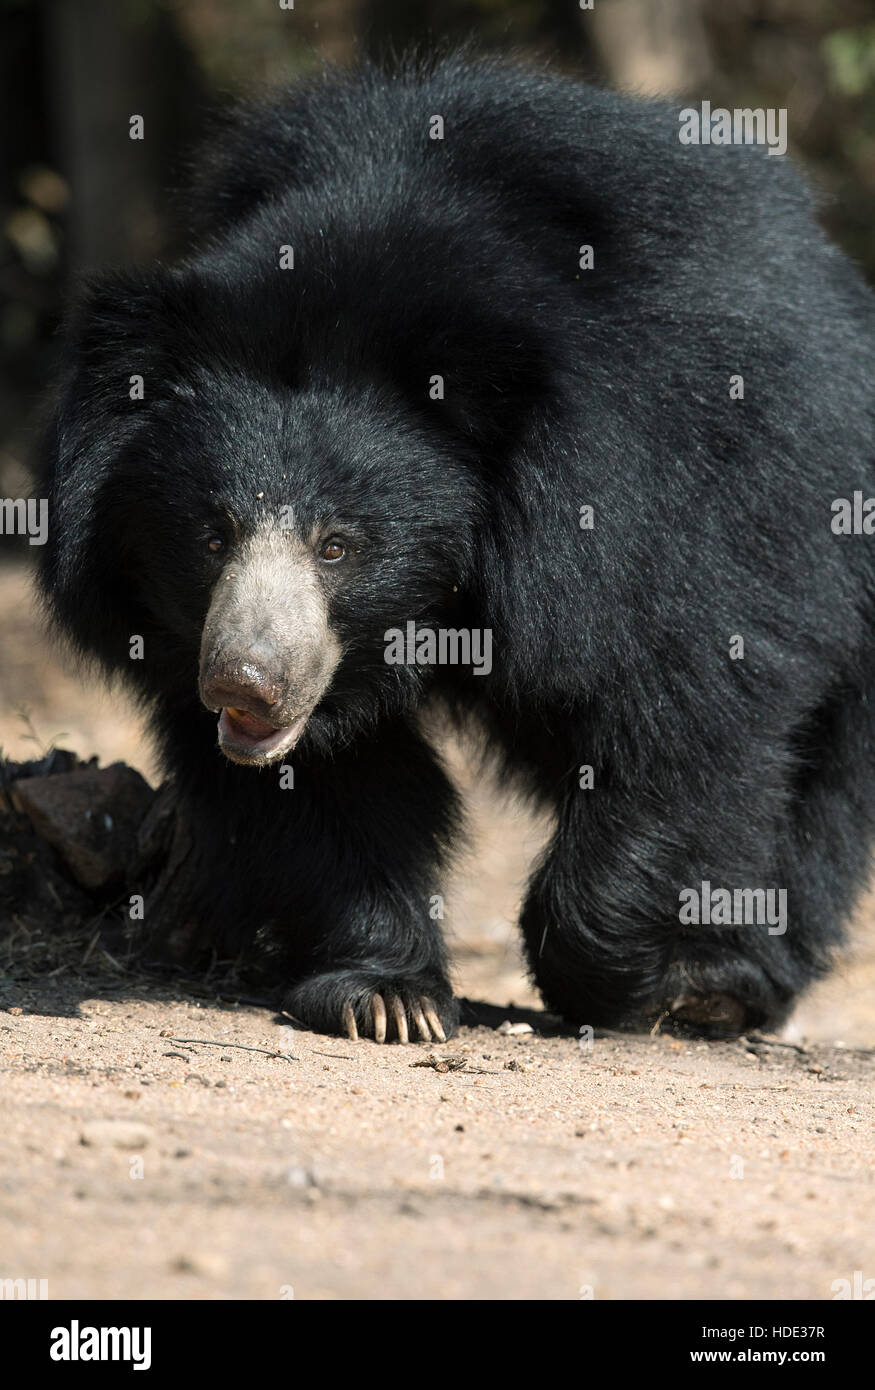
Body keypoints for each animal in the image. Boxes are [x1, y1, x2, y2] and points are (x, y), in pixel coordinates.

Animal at [36, 53, 875, 1043]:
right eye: (211, 536)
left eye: (338, 547)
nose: (246, 684)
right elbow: (339, 787)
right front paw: (385, 997)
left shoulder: (674, 502)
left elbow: (684, 709)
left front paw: (647, 984)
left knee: (822, 787)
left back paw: (746, 979)